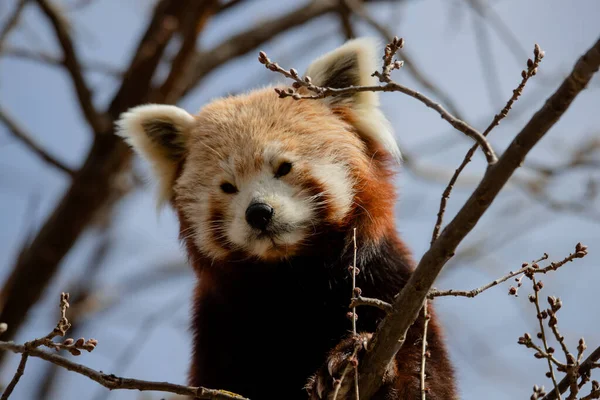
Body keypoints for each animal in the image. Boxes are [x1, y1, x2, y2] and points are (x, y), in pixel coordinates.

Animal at [116, 38, 454, 400]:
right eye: (228, 187)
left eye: (283, 167)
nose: (259, 213)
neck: (293, 278)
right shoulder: (220, 327)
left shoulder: (392, 288)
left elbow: (425, 375)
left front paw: (350, 361)